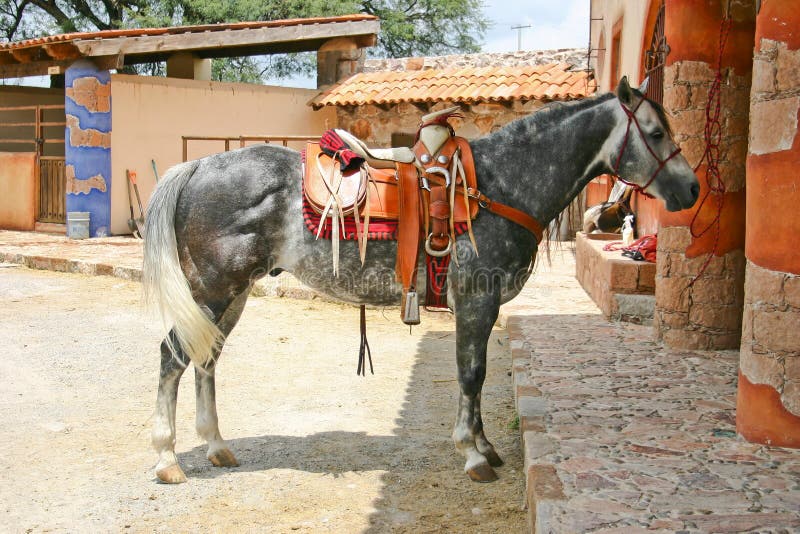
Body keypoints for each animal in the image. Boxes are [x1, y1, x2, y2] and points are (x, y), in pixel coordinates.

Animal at [143, 77, 699, 484]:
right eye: (654, 133)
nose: (693, 189)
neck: (496, 188)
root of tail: (197, 166)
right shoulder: (477, 301)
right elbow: (471, 374)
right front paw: (473, 455)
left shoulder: (483, 308)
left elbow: (475, 375)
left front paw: (485, 446)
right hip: (213, 289)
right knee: (173, 356)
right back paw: (167, 459)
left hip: (231, 294)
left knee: (206, 357)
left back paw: (217, 447)